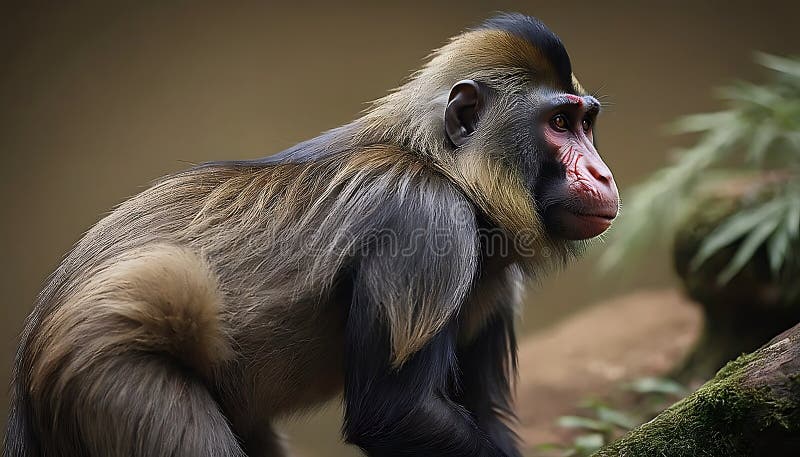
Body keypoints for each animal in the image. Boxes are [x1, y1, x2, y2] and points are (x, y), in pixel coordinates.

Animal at [5, 13, 619, 457]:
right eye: (559, 124)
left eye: (584, 123)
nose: (603, 175)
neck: (448, 171)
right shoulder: (428, 221)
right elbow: (396, 414)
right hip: (109, 369)